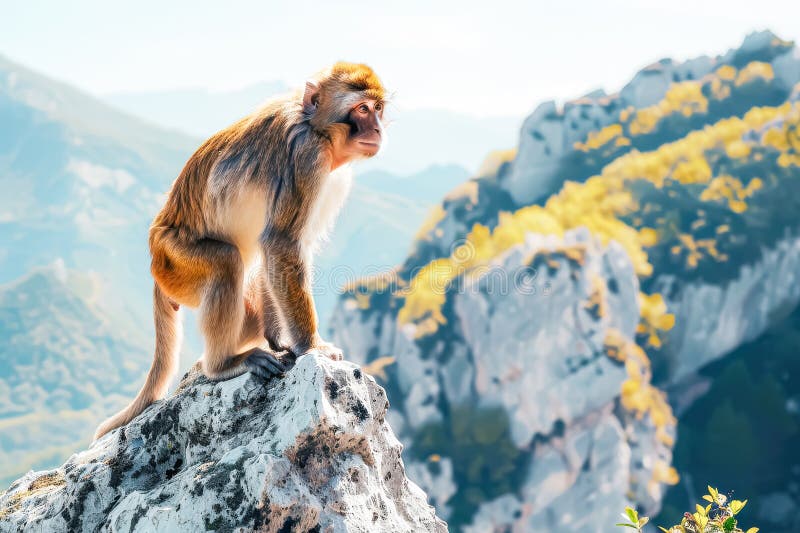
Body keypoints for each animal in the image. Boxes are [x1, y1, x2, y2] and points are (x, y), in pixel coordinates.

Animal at [94, 62, 386, 440]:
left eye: (378, 109)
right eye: (362, 109)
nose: (378, 128)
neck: (315, 126)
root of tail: (156, 262)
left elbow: (276, 253)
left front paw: (279, 338)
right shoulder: (307, 159)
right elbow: (281, 243)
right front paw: (312, 345)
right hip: (177, 263)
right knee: (226, 262)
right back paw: (222, 365)